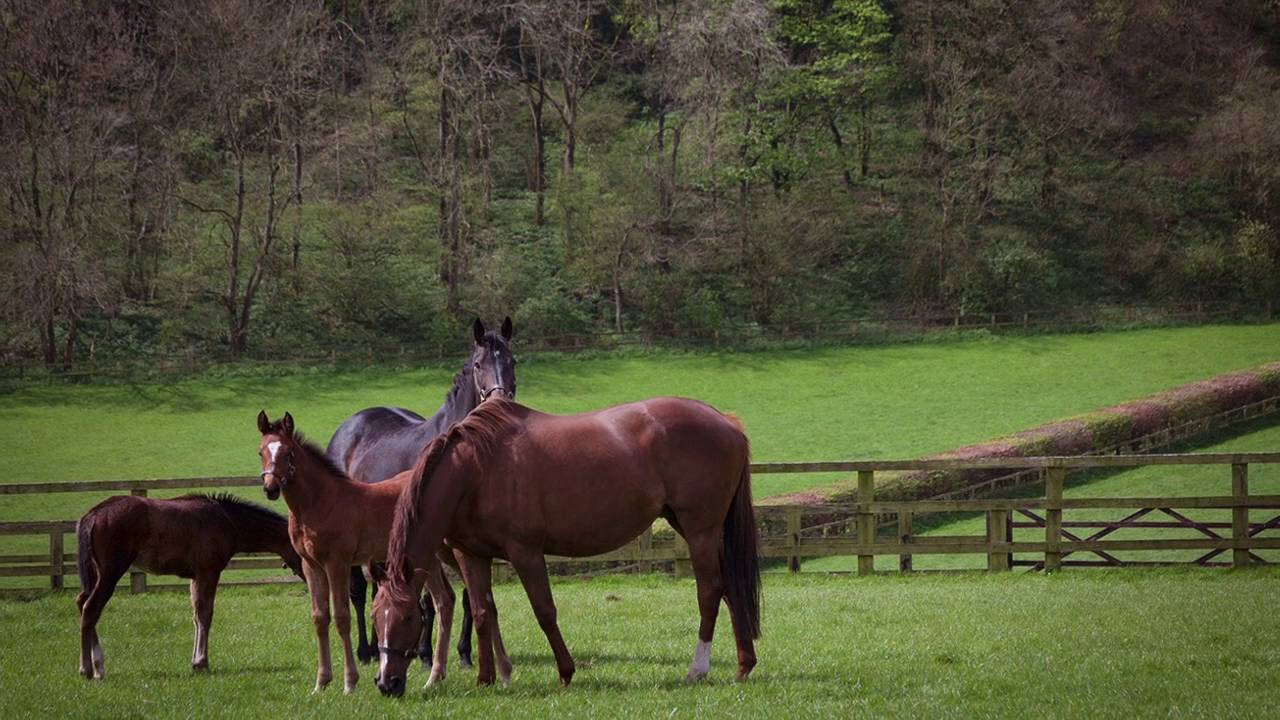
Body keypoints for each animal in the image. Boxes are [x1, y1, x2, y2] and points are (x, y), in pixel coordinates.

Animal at [74, 493, 303, 680]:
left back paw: (98, 667)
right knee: (91, 608)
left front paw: (195, 661)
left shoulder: (195, 576)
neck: (228, 520)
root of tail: (93, 515)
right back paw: (88, 669)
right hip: (110, 572)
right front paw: (201, 662)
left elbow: (196, 616)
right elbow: (205, 614)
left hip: (95, 573)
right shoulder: (208, 572)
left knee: (82, 602)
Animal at [257, 411, 512, 693]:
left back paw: (501, 671)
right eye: (261, 452)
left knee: (480, 600)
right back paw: (436, 676)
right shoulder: (310, 564)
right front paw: (321, 683)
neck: (321, 501)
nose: (270, 488)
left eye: (288, 452)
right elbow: (319, 617)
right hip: (428, 557)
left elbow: (342, 616)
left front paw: (350, 683)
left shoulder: (338, 562)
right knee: (446, 600)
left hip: (449, 552)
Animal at [326, 316, 516, 667]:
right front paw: (428, 653)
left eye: (512, 361)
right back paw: (366, 650)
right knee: (358, 591)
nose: (501, 403)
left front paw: (464, 652)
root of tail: (350, 426)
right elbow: (431, 598)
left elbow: (469, 595)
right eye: (478, 364)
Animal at [372, 397, 761, 696]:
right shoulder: (472, 555)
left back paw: (698, 669)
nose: (387, 684)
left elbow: (544, 611)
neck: (476, 469)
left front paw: (565, 672)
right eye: (376, 618)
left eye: (410, 617)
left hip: (700, 531)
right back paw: (744, 665)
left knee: (710, 592)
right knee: (731, 589)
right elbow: (483, 613)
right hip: (694, 528)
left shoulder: (525, 552)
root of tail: (726, 422)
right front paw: (485, 679)